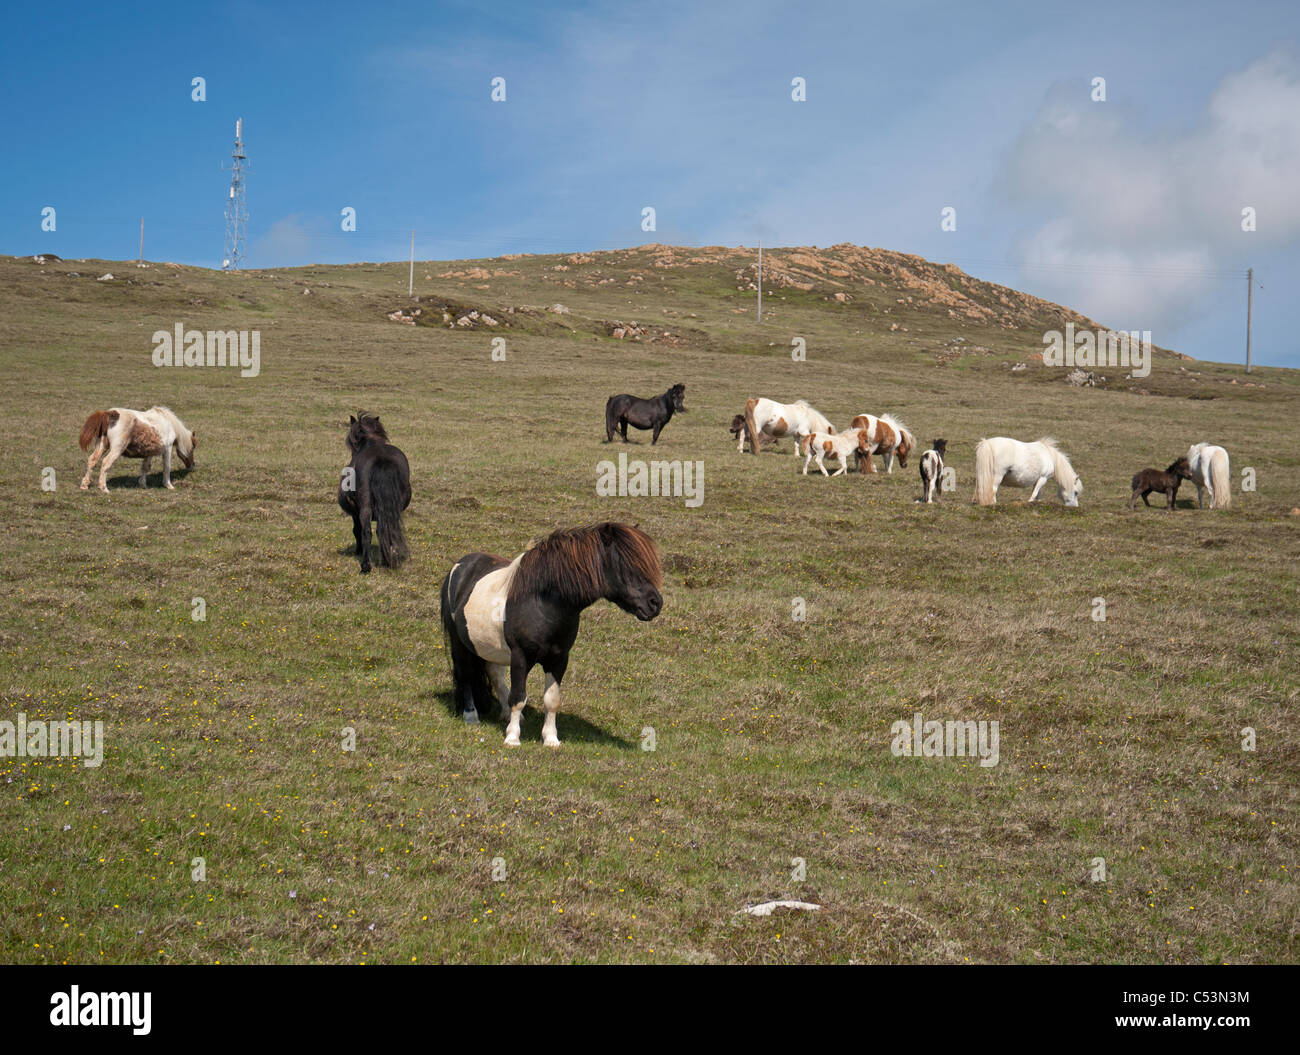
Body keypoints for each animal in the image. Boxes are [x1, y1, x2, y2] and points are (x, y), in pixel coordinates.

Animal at [337, 413, 411, 574]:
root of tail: (382, 458)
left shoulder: (355, 512)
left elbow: (357, 530)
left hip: (365, 508)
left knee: (367, 532)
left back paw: (366, 566)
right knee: (387, 530)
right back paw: (387, 561)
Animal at [440, 522, 663, 747]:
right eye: (626, 565)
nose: (655, 603)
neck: (542, 602)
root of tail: (459, 566)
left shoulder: (558, 659)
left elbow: (552, 700)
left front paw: (550, 739)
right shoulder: (520, 657)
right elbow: (518, 697)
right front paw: (512, 738)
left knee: (494, 673)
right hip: (460, 644)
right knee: (466, 674)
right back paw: (471, 716)